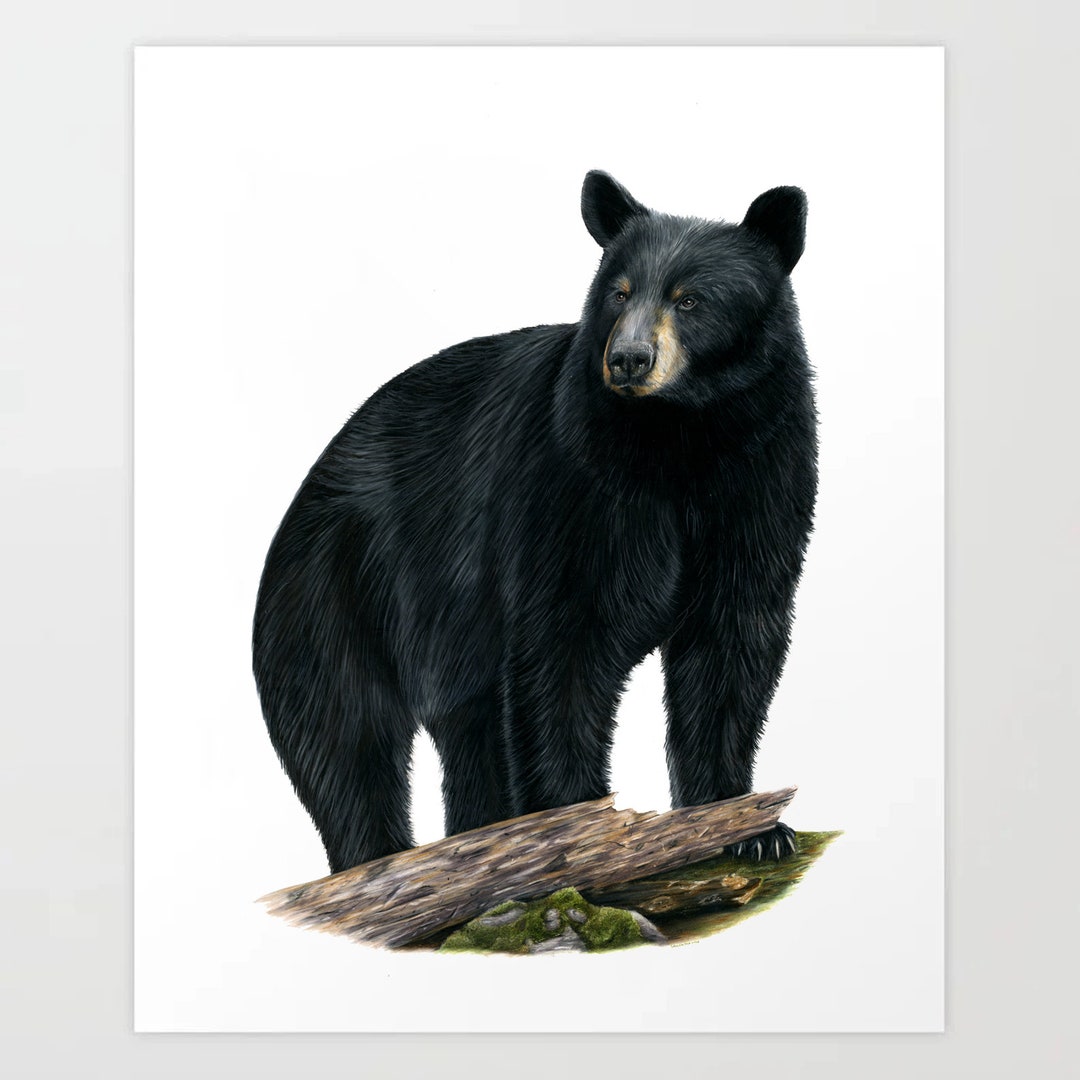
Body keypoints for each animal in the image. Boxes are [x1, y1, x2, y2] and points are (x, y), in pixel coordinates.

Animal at [253, 171, 817, 875]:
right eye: (618, 291)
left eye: (692, 299)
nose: (629, 358)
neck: (680, 441)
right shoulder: (568, 488)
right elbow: (561, 652)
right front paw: (580, 836)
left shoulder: (760, 481)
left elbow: (731, 645)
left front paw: (747, 827)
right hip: (334, 593)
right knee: (344, 738)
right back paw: (378, 865)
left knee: (467, 739)